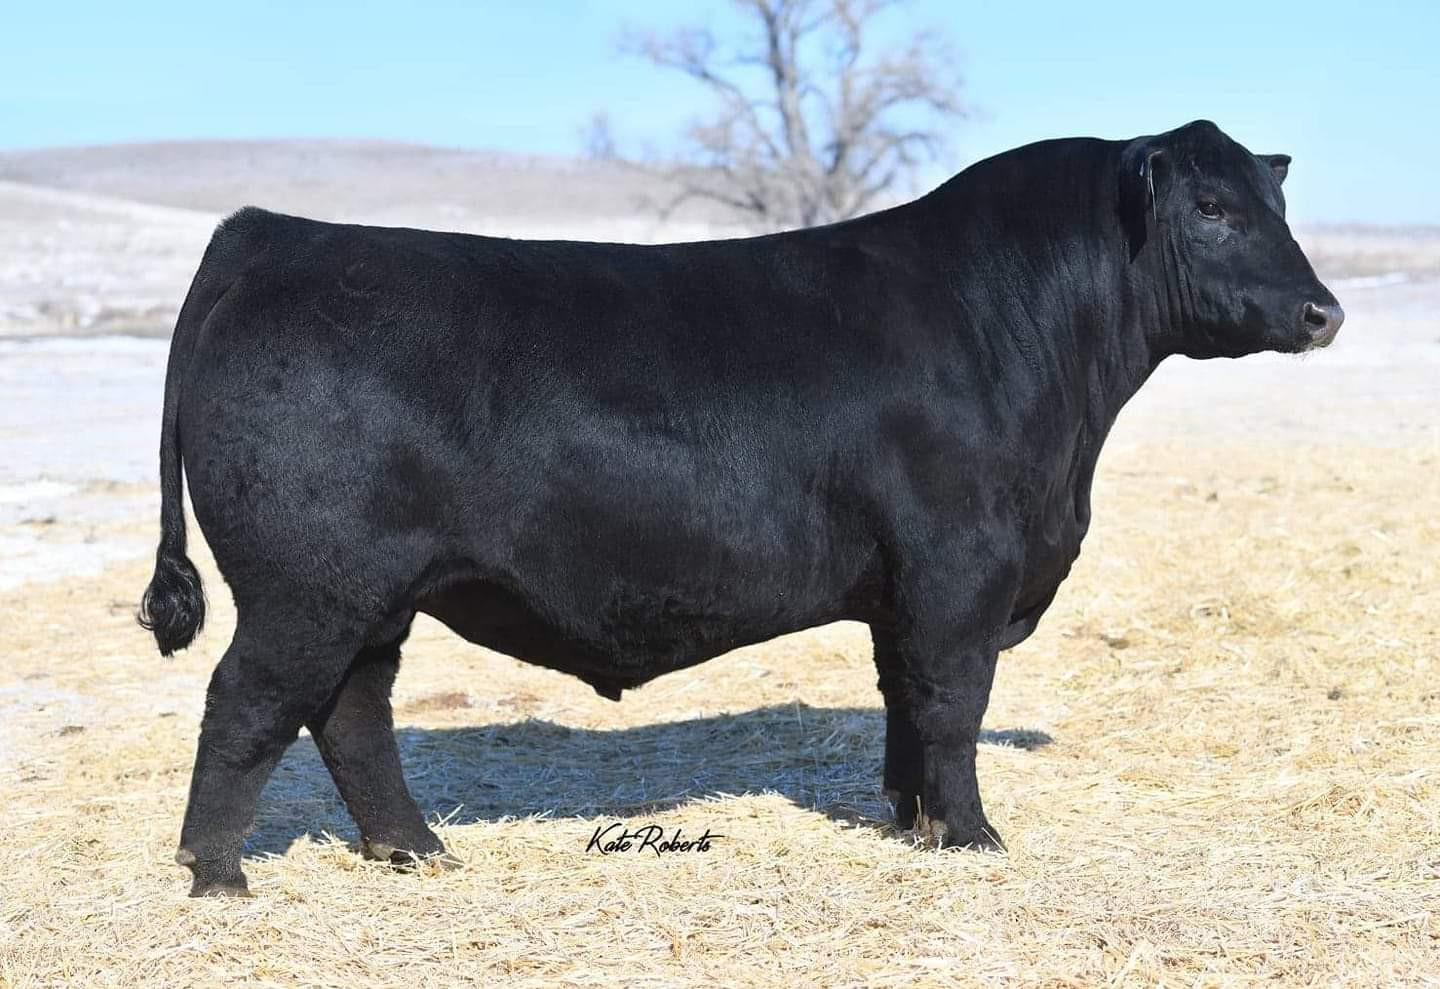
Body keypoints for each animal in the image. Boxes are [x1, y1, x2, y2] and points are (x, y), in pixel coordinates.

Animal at [139, 120, 1342, 896]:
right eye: (1212, 208)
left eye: (1278, 202)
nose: (1323, 311)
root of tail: (273, 232)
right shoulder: (961, 569)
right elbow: (951, 703)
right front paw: (973, 836)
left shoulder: (907, 587)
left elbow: (905, 705)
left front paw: (912, 818)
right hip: (309, 584)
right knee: (250, 700)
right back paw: (219, 873)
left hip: (370, 594)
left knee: (350, 709)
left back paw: (413, 849)